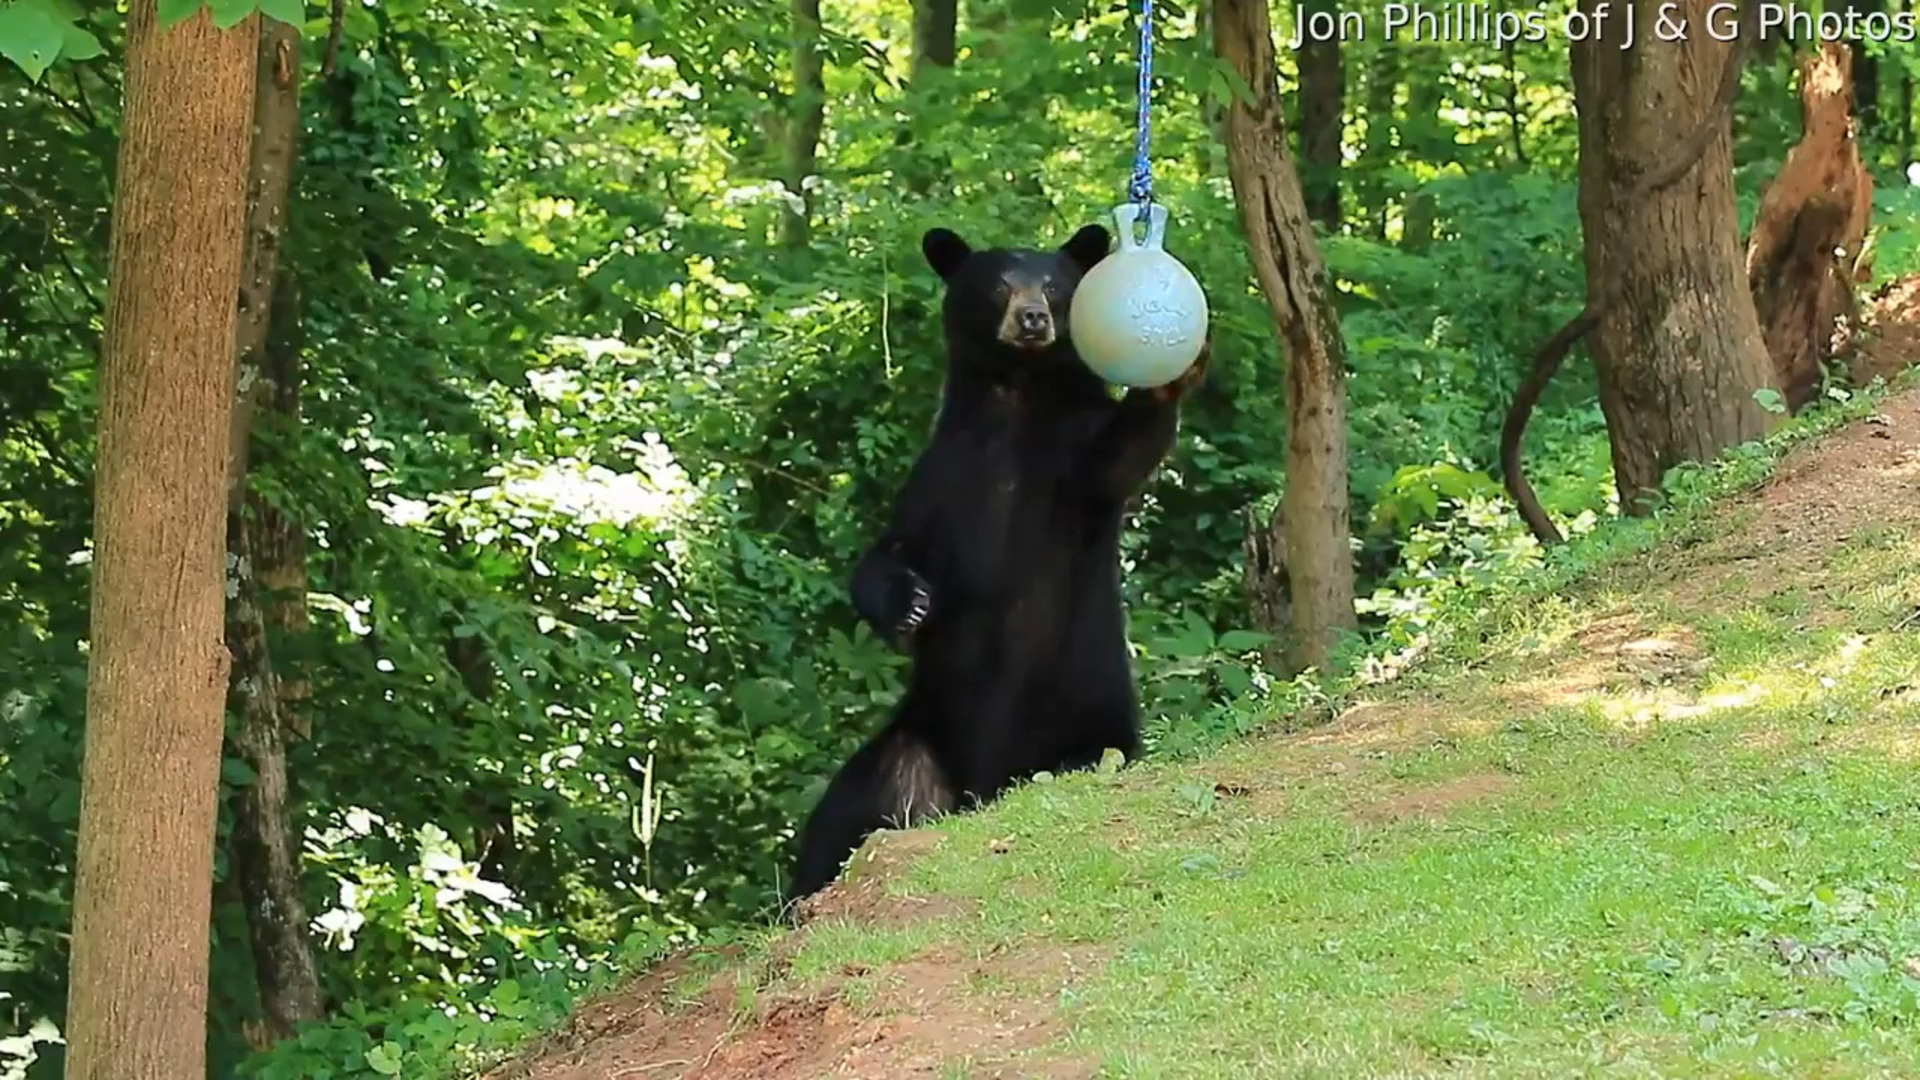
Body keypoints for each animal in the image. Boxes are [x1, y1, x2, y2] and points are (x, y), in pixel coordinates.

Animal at [787, 220, 1207, 904]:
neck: (1016, 395)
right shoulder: (941, 475)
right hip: (917, 742)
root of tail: (982, 787)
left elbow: (1119, 456)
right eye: (1000, 285)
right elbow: (888, 551)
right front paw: (909, 606)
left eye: (1056, 286)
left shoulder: (1072, 469)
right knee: (850, 810)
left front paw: (1170, 375)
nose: (1033, 318)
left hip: (1087, 717)